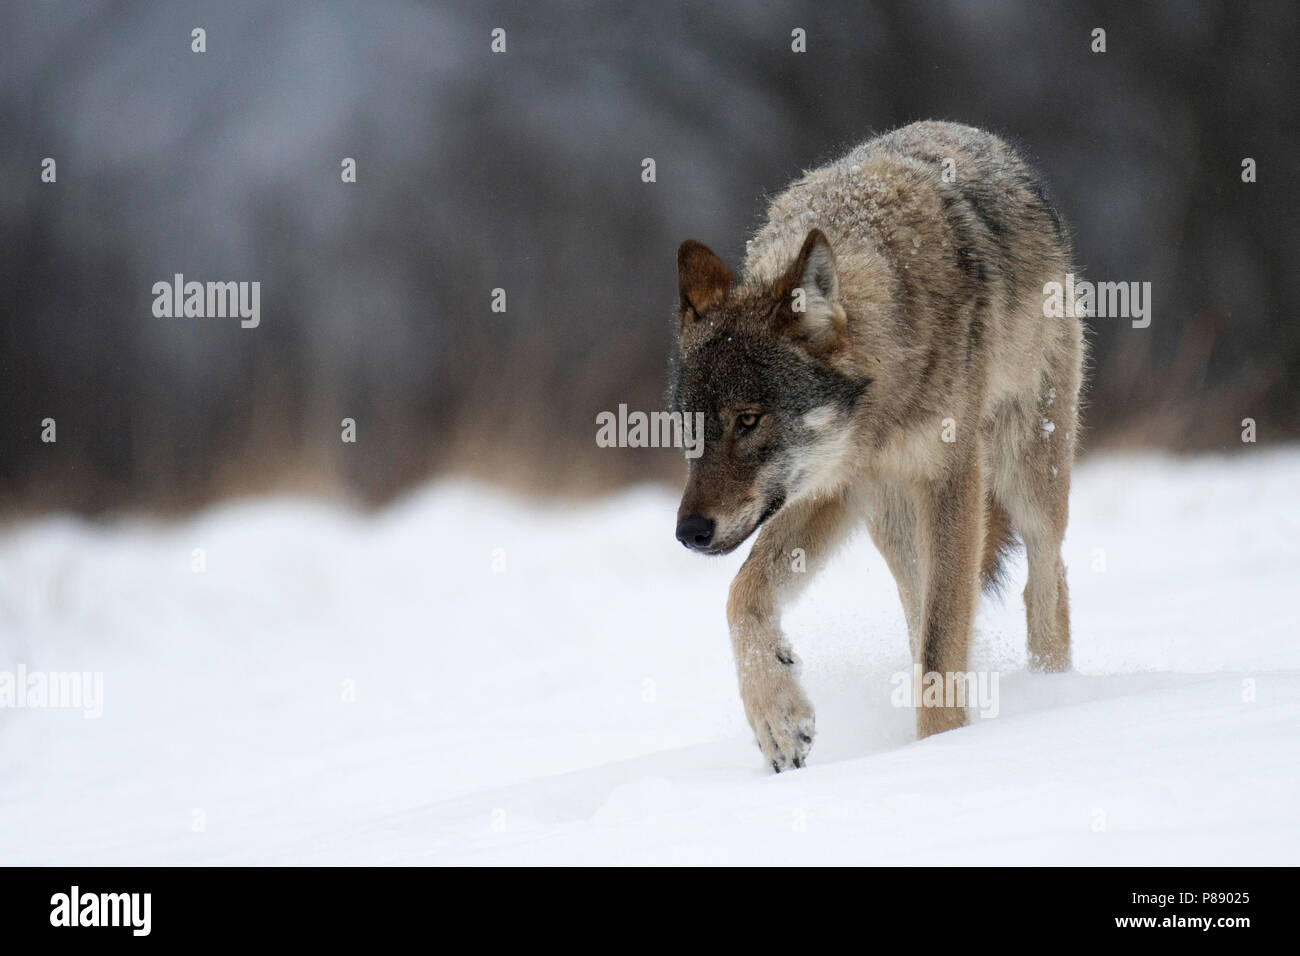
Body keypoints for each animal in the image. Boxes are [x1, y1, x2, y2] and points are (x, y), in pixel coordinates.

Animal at [669, 121, 1084, 771]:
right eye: (690, 428)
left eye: (748, 420)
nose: (689, 532)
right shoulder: (831, 487)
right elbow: (741, 595)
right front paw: (778, 720)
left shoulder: (951, 480)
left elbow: (942, 648)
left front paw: (941, 752)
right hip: (891, 524)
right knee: (920, 610)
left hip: (1028, 479)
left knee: (1045, 580)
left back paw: (1053, 695)